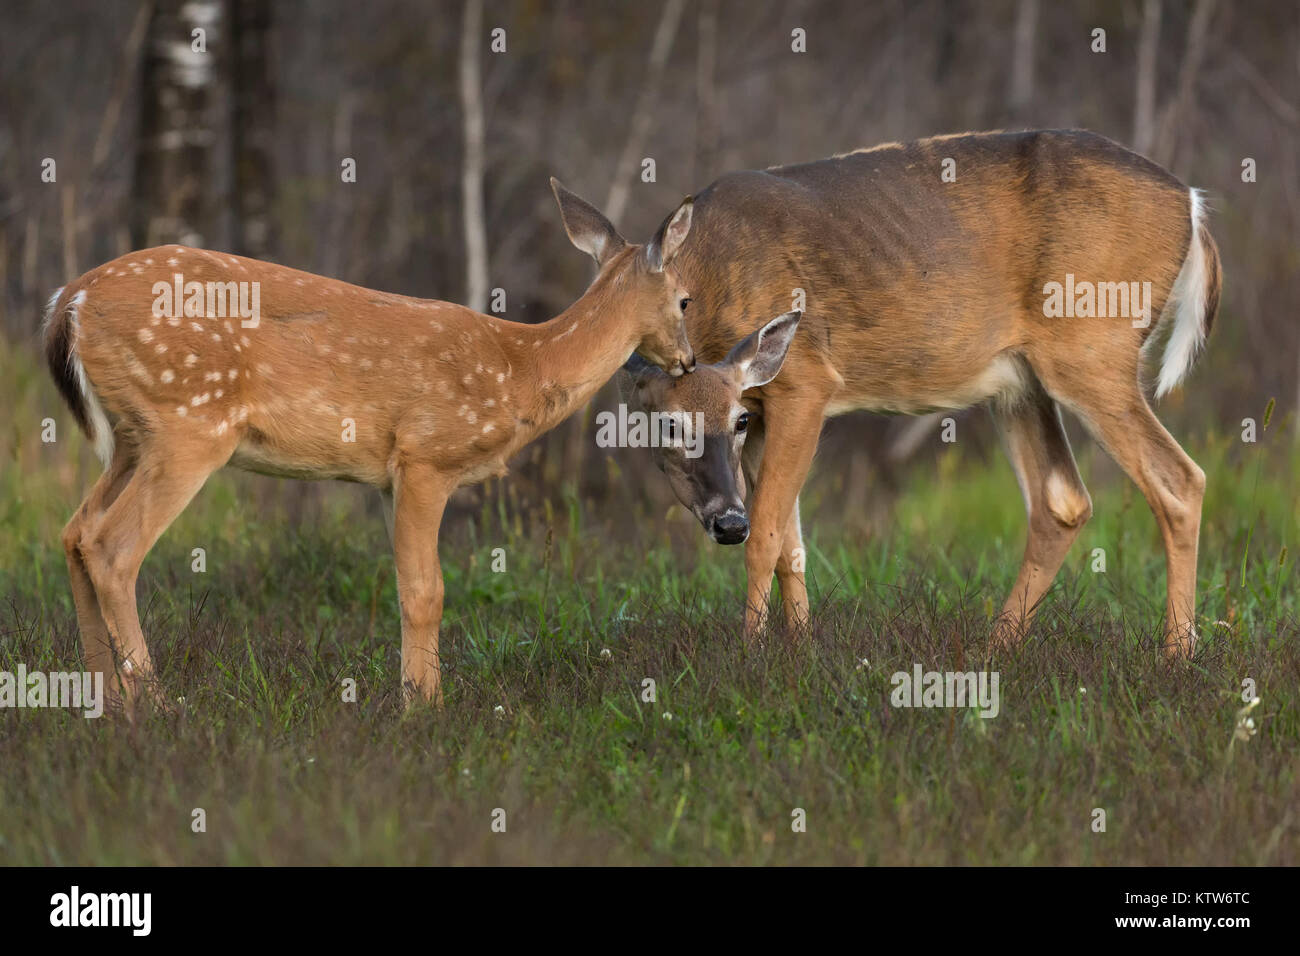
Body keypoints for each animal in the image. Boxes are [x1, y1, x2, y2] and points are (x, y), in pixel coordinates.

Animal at [44, 179, 695, 714]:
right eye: (686, 298)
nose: (689, 361)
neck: (522, 369)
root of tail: (70, 301)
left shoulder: (387, 477)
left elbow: (409, 587)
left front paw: (415, 696)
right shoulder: (428, 453)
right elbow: (427, 593)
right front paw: (425, 710)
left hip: (132, 439)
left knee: (75, 532)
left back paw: (105, 704)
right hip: (188, 422)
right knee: (112, 547)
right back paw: (155, 706)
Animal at [557, 129, 1222, 659]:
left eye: (733, 420)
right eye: (666, 423)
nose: (725, 523)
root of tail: (1193, 206)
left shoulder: (806, 382)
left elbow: (769, 534)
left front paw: (751, 655)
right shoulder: (769, 403)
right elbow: (793, 542)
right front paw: (800, 651)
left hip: (1091, 350)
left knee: (1180, 480)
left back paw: (1175, 657)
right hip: (1020, 383)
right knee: (1062, 502)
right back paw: (995, 651)